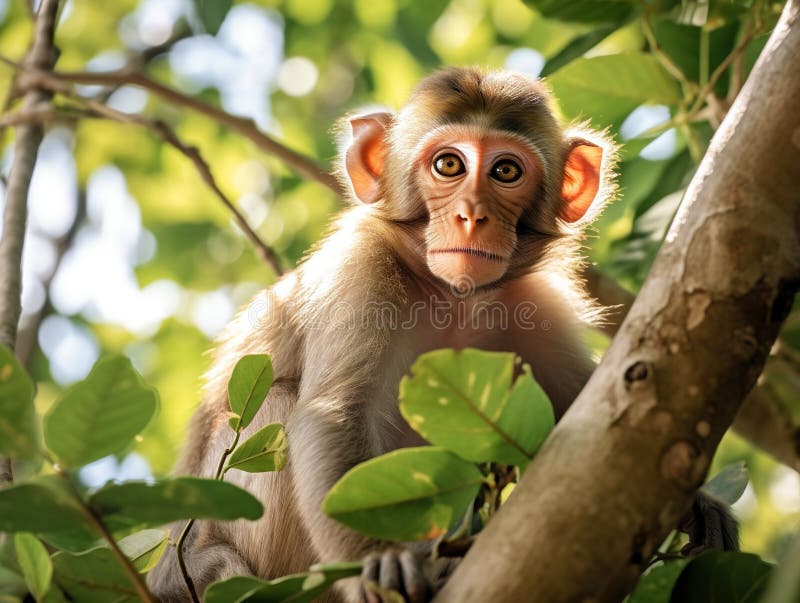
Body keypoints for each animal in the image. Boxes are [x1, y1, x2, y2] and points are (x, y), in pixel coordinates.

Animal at [148, 67, 737, 603]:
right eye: (448, 164)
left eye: (505, 170)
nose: (471, 216)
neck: (452, 297)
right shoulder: (360, 275)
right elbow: (330, 416)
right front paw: (380, 560)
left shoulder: (537, 307)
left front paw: (699, 505)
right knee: (275, 405)